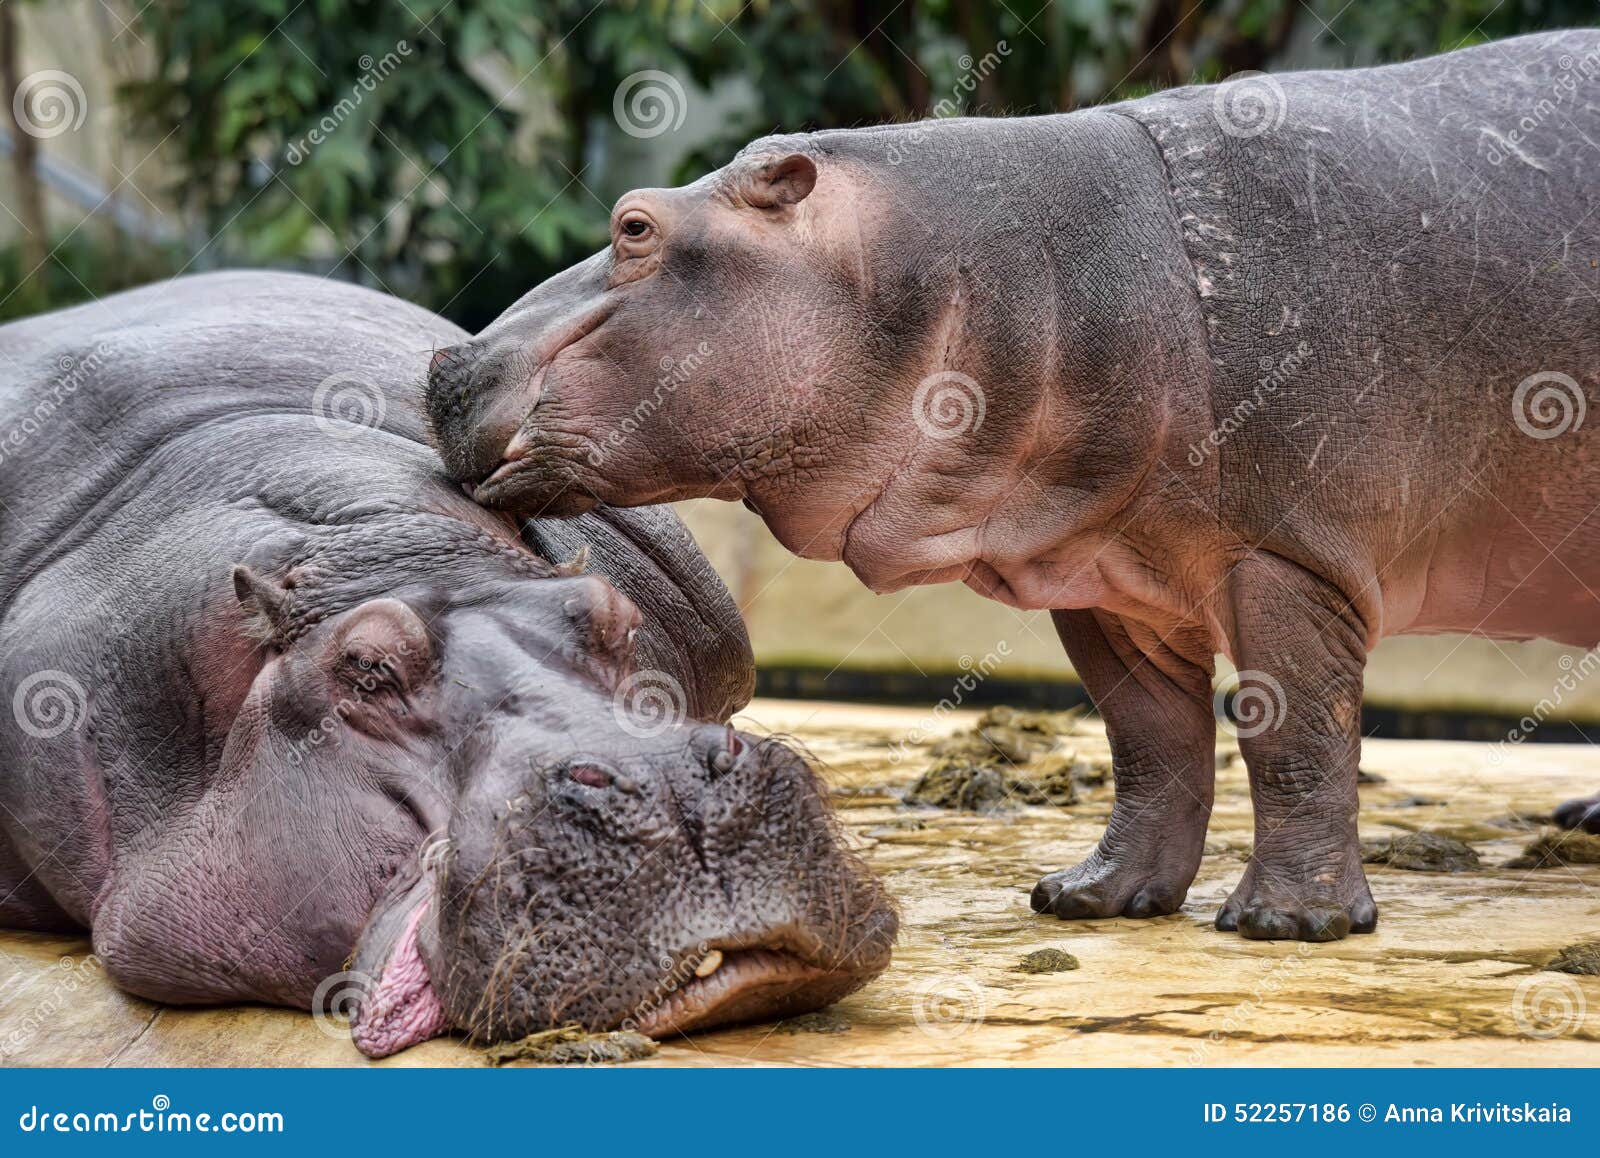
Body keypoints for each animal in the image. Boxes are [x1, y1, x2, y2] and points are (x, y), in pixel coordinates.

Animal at [427, 29, 1600, 942]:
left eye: (634, 226)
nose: (444, 363)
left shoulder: (1289, 553)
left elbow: (1293, 732)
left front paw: (1288, 925)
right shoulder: (1105, 570)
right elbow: (1148, 737)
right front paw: (1090, 898)